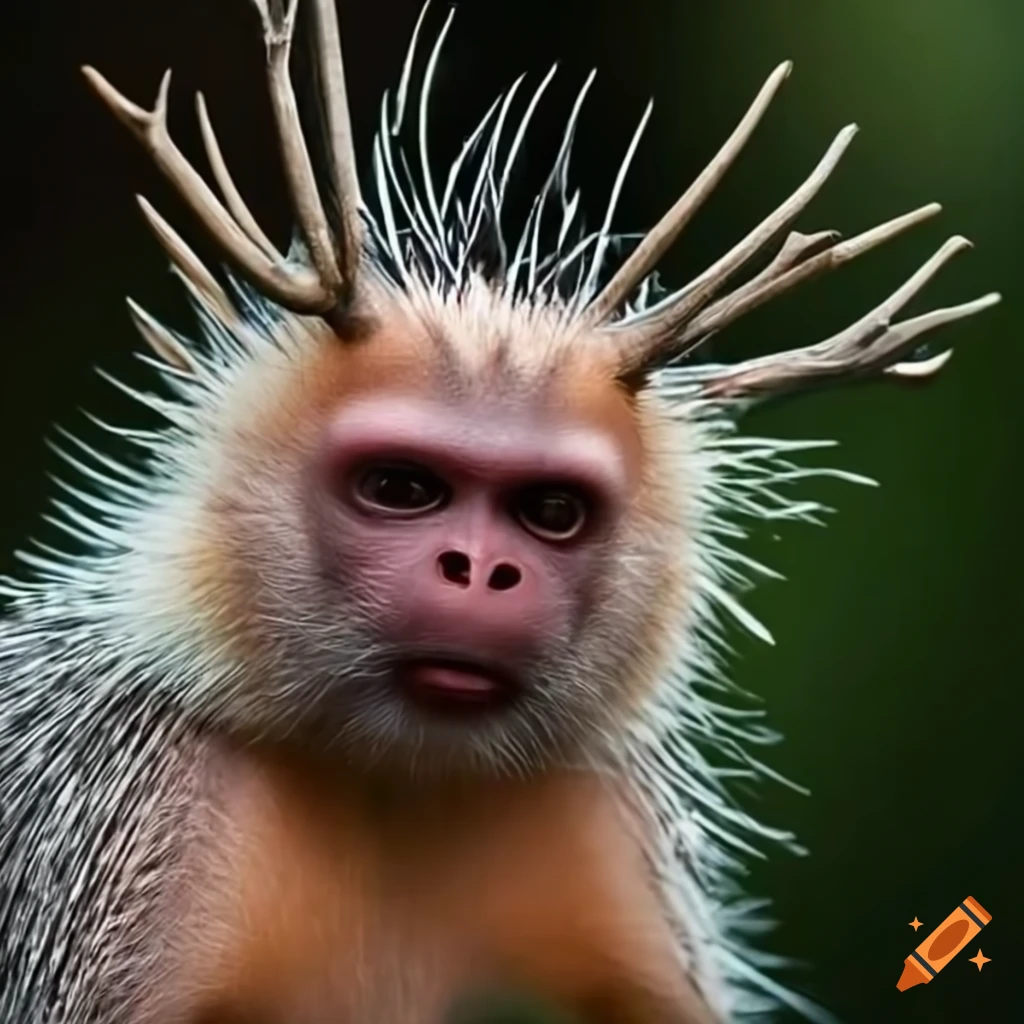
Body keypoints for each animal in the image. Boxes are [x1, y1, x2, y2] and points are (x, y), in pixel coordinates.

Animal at [0, 0, 999, 1022]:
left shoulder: (608, 842)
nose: (481, 570)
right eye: (402, 488)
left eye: (551, 510)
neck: (392, 784)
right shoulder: (115, 827)